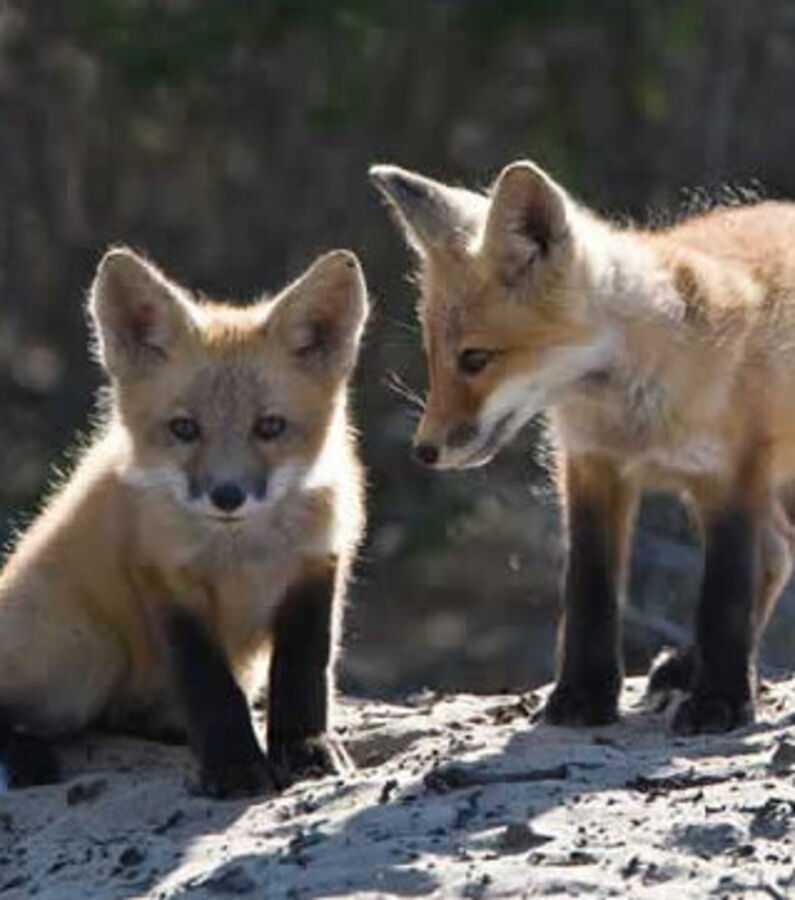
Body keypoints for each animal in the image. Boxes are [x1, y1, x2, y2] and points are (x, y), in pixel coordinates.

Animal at [0, 246, 368, 797]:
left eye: (270, 427)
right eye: (184, 429)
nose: (227, 495)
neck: (243, 556)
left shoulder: (317, 566)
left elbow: (303, 674)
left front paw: (305, 750)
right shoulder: (167, 582)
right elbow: (210, 687)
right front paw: (234, 767)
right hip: (86, 657)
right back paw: (27, 755)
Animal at [370, 158, 795, 736]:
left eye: (476, 359)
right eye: (433, 358)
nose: (424, 451)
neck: (632, 414)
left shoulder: (731, 475)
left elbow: (723, 596)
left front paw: (720, 701)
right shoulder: (592, 466)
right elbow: (589, 593)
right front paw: (583, 694)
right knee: (778, 553)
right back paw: (688, 665)